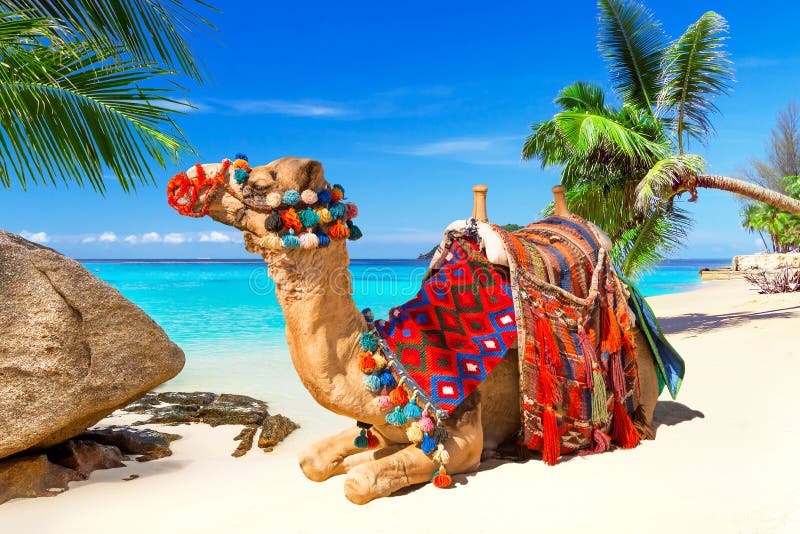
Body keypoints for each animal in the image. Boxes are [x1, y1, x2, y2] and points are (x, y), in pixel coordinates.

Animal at [169, 155, 661, 504]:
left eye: (258, 181)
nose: (190, 178)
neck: (387, 361)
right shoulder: (379, 422)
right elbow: (313, 460)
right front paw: (356, 455)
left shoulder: (462, 436)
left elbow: (360, 480)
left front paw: (365, 465)